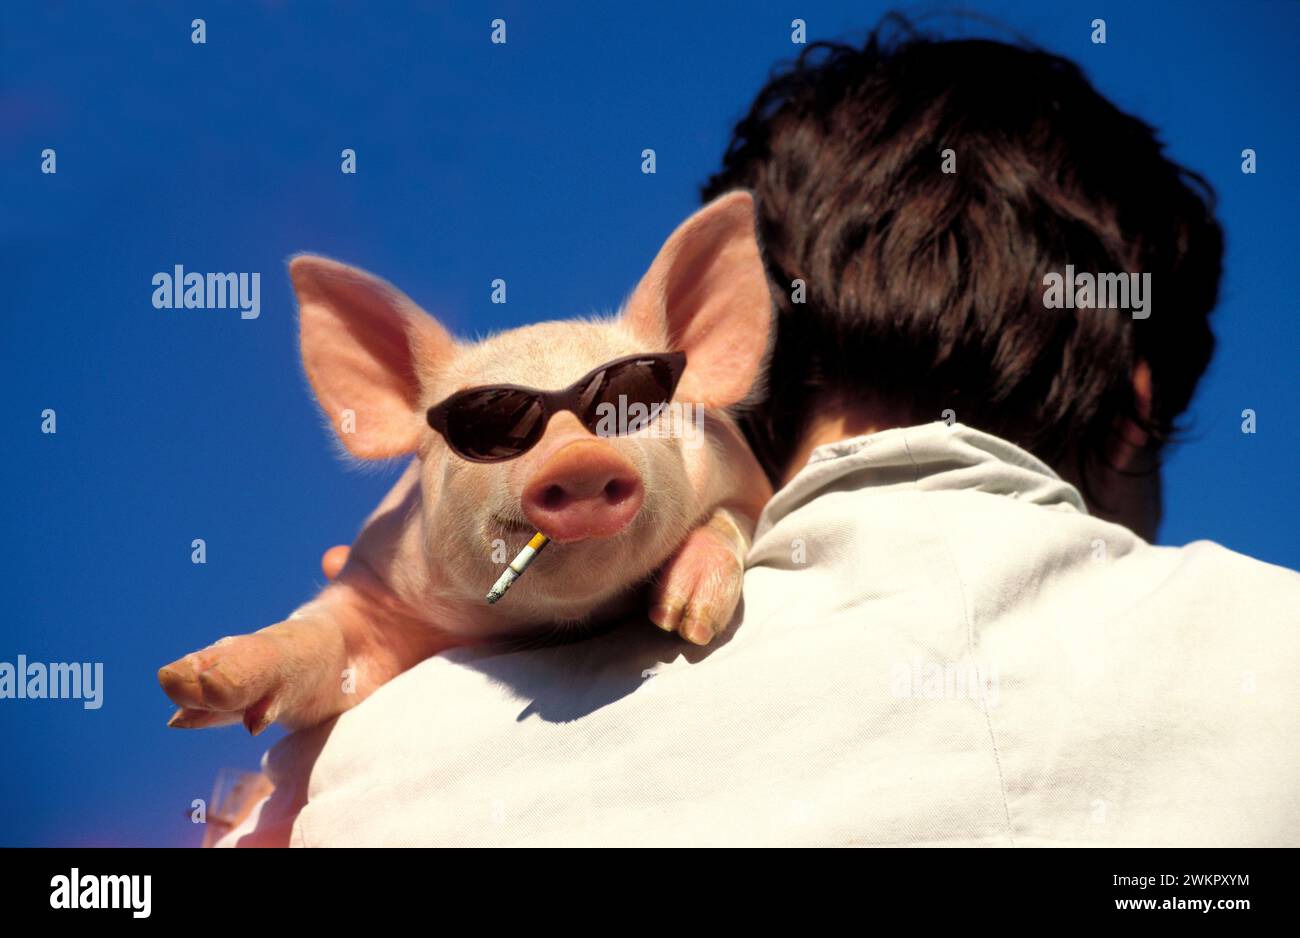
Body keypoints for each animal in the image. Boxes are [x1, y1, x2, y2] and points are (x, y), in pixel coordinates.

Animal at [158, 191, 774, 735]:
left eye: (628, 406)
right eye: (488, 426)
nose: (576, 458)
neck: (566, 621)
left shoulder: (745, 482)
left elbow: (731, 522)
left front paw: (683, 620)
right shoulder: (374, 582)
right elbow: (322, 636)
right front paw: (191, 683)